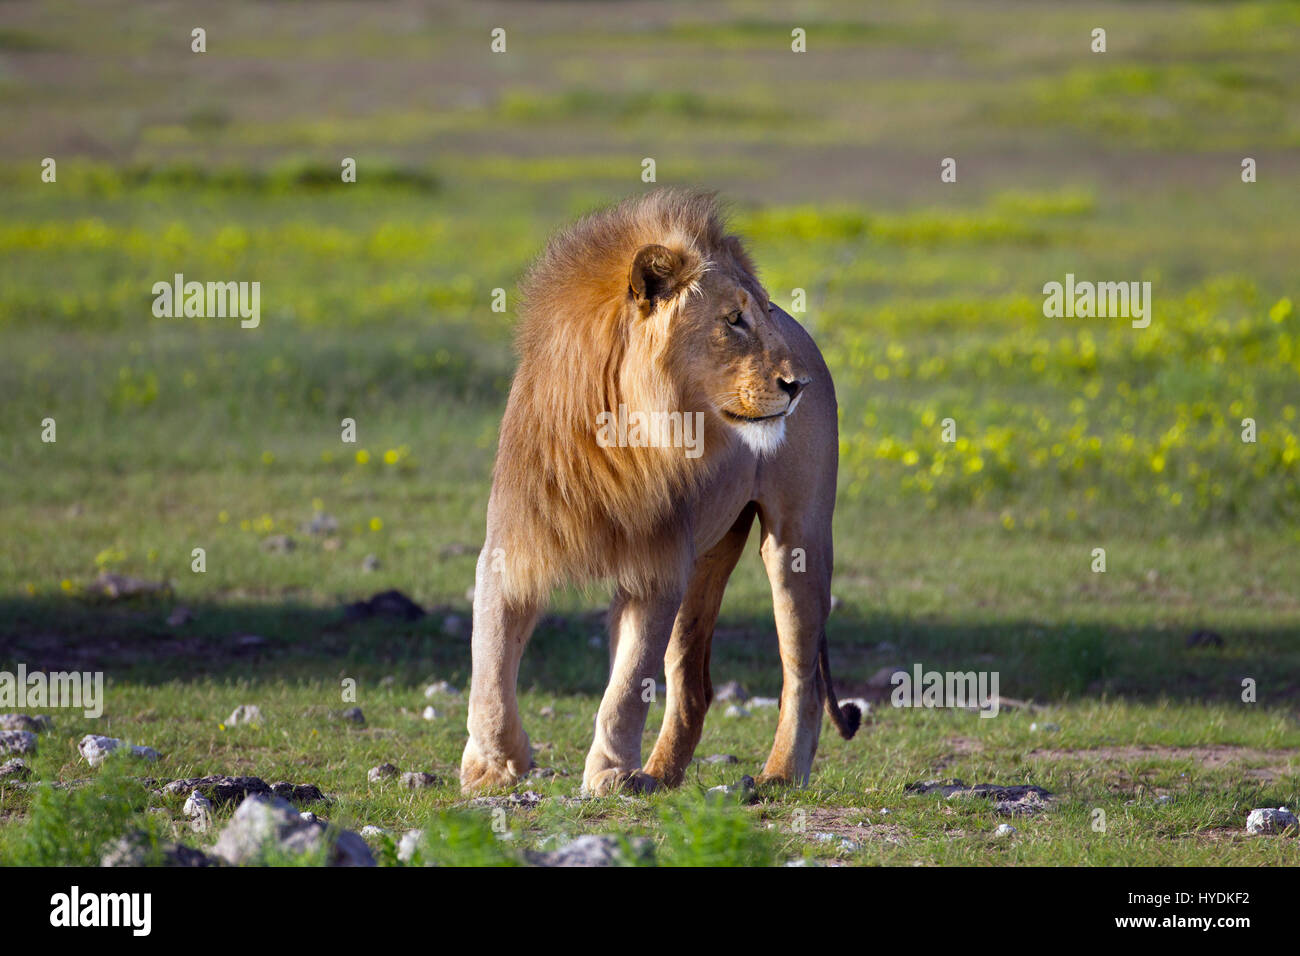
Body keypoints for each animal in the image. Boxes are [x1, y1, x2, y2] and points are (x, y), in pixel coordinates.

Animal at [460, 189, 859, 796]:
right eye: (733, 320)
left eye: (760, 316)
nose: (797, 386)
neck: (615, 435)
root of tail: (806, 336)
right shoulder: (513, 549)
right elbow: (490, 665)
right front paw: (493, 766)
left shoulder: (654, 570)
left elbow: (626, 687)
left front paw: (608, 772)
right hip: (705, 561)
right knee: (694, 685)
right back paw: (659, 775)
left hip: (796, 543)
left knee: (801, 677)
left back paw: (777, 775)